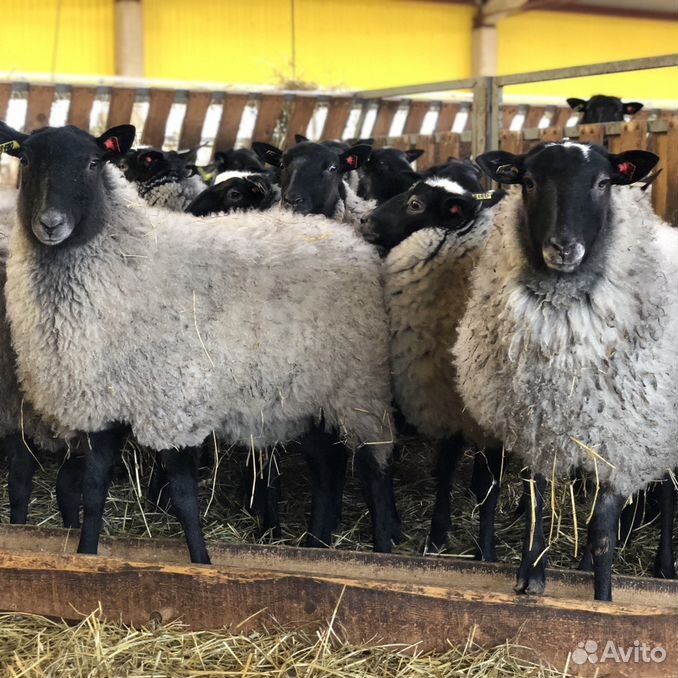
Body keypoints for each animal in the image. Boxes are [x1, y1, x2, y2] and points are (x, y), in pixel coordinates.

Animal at [1, 123, 398, 568]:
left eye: (92, 162)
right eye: (26, 159)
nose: (51, 223)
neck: (127, 257)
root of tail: (347, 238)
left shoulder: (176, 404)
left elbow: (184, 497)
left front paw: (201, 562)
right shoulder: (103, 405)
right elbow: (93, 490)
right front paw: (87, 554)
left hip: (359, 386)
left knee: (374, 468)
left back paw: (383, 552)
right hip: (303, 395)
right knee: (328, 468)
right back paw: (316, 546)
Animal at [364, 173, 508, 560]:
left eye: (416, 204)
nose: (366, 220)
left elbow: (491, 485)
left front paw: (486, 551)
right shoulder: (444, 400)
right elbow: (445, 468)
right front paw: (437, 532)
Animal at [454, 141, 676, 604]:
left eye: (604, 182)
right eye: (529, 181)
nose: (563, 247)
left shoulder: (624, 444)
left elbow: (603, 532)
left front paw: (603, 599)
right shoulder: (536, 424)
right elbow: (538, 504)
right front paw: (532, 574)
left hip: (656, 431)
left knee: (664, 495)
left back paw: (663, 564)